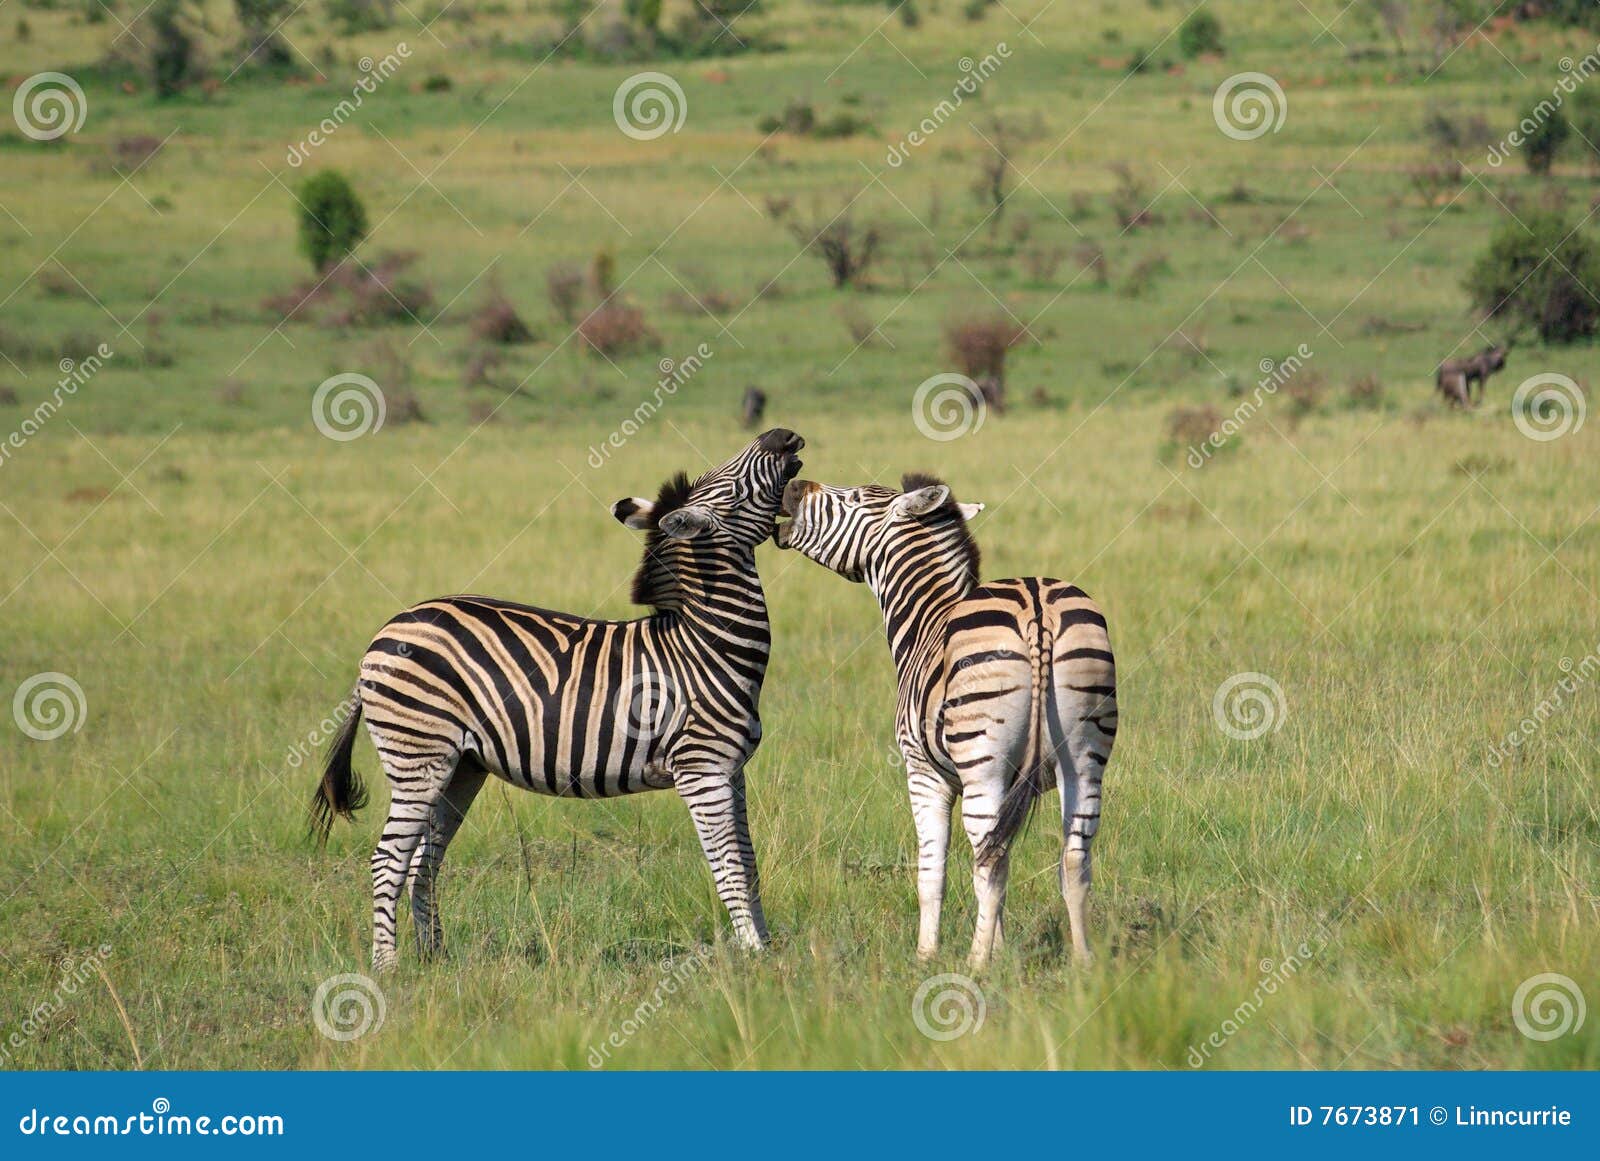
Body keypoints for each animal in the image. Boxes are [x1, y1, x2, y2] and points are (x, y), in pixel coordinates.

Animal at [310, 428, 806, 970]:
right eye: (732, 484)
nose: (784, 435)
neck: (705, 645)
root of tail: (383, 633)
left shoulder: (731, 769)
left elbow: (749, 862)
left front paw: (765, 948)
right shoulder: (702, 769)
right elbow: (729, 865)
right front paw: (753, 954)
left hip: (459, 767)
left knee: (423, 861)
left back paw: (435, 957)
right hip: (417, 754)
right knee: (388, 859)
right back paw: (389, 967)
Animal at [774, 473, 1117, 967]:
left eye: (853, 497)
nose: (793, 484)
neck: (924, 621)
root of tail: (1036, 604)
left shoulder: (922, 772)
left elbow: (931, 872)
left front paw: (927, 955)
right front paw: (1002, 949)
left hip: (983, 765)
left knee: (991, 860)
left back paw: (974, 966)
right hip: (1086, 759)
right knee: (1071, 858)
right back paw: (1084, 960)